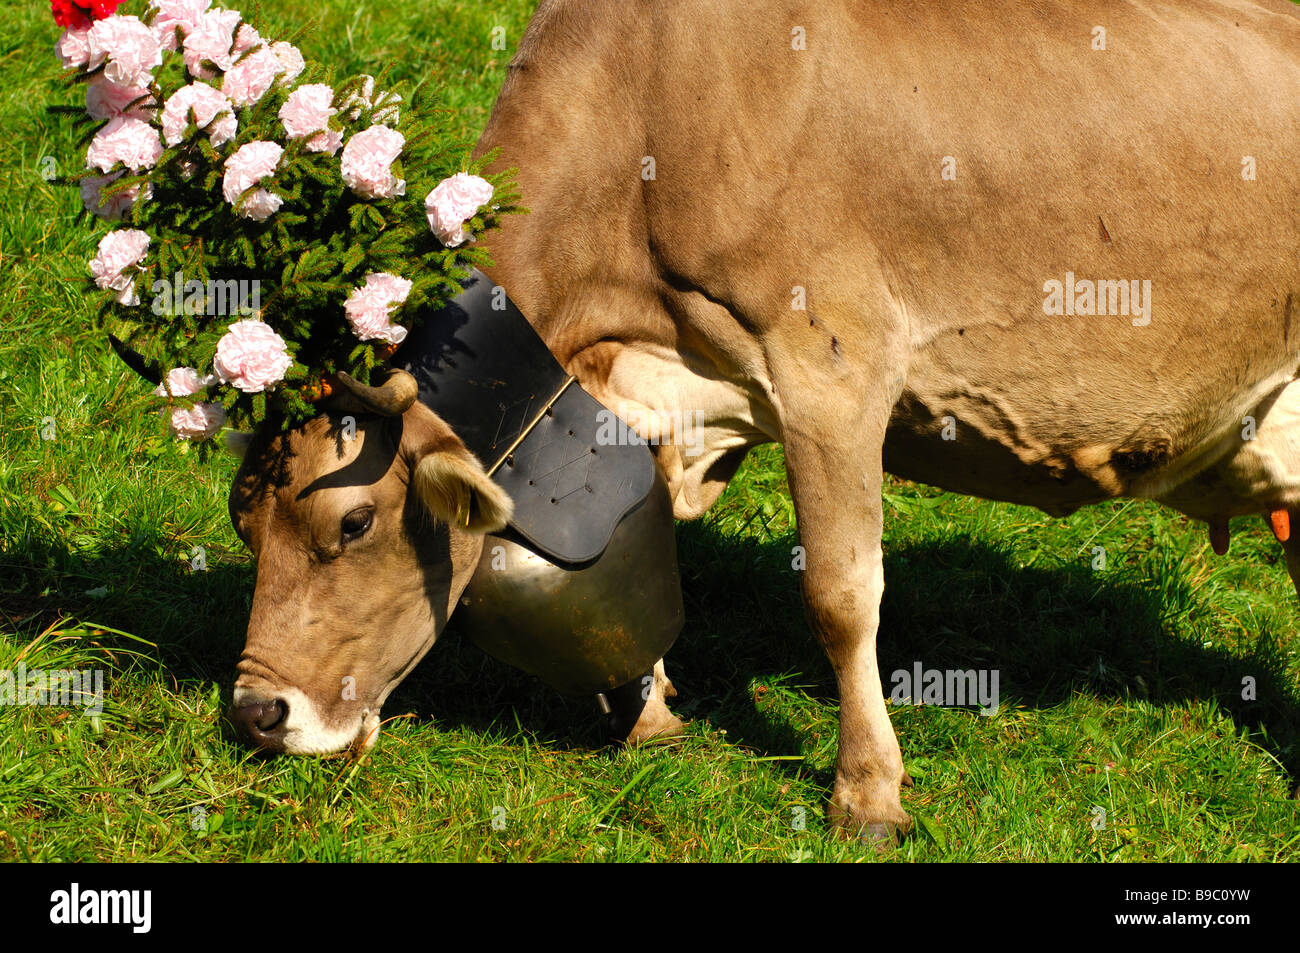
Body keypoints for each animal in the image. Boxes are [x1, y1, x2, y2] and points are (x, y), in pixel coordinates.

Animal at [227, 0, 1300, 843]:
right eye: (245, 520)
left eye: (351, 523)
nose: (255, 710)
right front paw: (651, 713)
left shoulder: (832, 365)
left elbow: (841, 594)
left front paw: (867, 794)